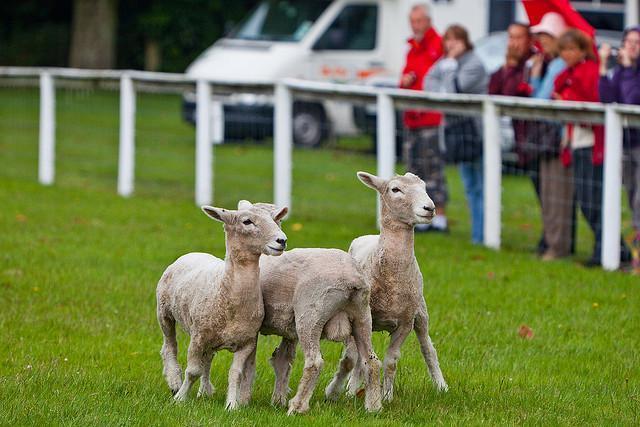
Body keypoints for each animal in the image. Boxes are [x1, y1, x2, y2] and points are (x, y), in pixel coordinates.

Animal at [155, 201, 288, 410]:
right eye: (247, 221)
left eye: (275, 220)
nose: (281, 240)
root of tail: (194, 252)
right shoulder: (198, 336)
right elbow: (192, 371)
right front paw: (181, 399)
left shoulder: (246, 342)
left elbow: (235, 374)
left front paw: (232, 405)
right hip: (164, 312)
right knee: (169, 347)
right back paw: (174, 382)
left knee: (207, 360)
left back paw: (204, 391)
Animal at [241, 202, 382, 415]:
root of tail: (352, 277)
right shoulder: (289, 329)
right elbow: (282, 360)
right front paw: (278, 399)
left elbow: (251, 361)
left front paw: (244, 399)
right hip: (362, 315)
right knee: (371, 360)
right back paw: (373, 407)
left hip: (310, 315)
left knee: (314, 361)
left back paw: (297, 406)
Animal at [328, 171, 448, 402]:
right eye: (395, 189)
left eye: (424, 186)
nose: (430, 208)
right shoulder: (359, 317)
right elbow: (355, 358)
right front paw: (345, 390)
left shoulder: (405, 322)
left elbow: (391, 361)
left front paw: (387, 396)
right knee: (358, 358)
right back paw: (352, 389)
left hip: (421, 312)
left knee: (428, 349)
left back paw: (442, 387)